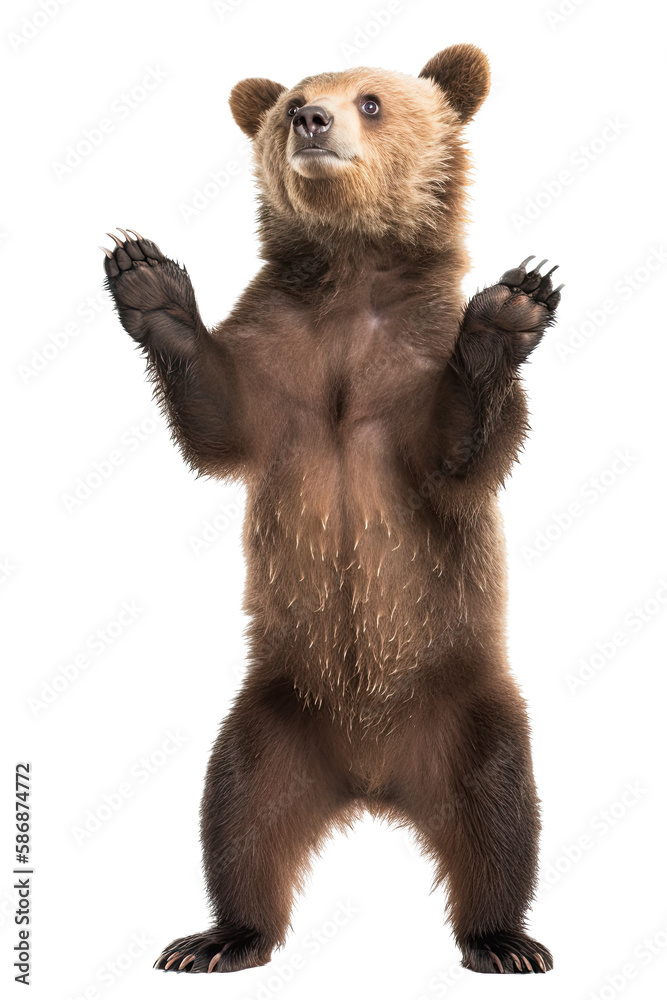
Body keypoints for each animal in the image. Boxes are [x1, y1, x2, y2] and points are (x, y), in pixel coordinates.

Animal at [101, 43, 562, 975]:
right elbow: (220, 421)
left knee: (501, 812)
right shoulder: (281, 354)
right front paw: (149, 283)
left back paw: (502, 940)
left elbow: (458, 454)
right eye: (291, 105)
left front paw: (506, 315)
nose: (314, 121)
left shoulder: (408, 365)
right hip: (272, 715)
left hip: (467, 704)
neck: (353, 282)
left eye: (373, 101)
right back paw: (218, 937)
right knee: (236, 814)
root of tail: (373, 780)